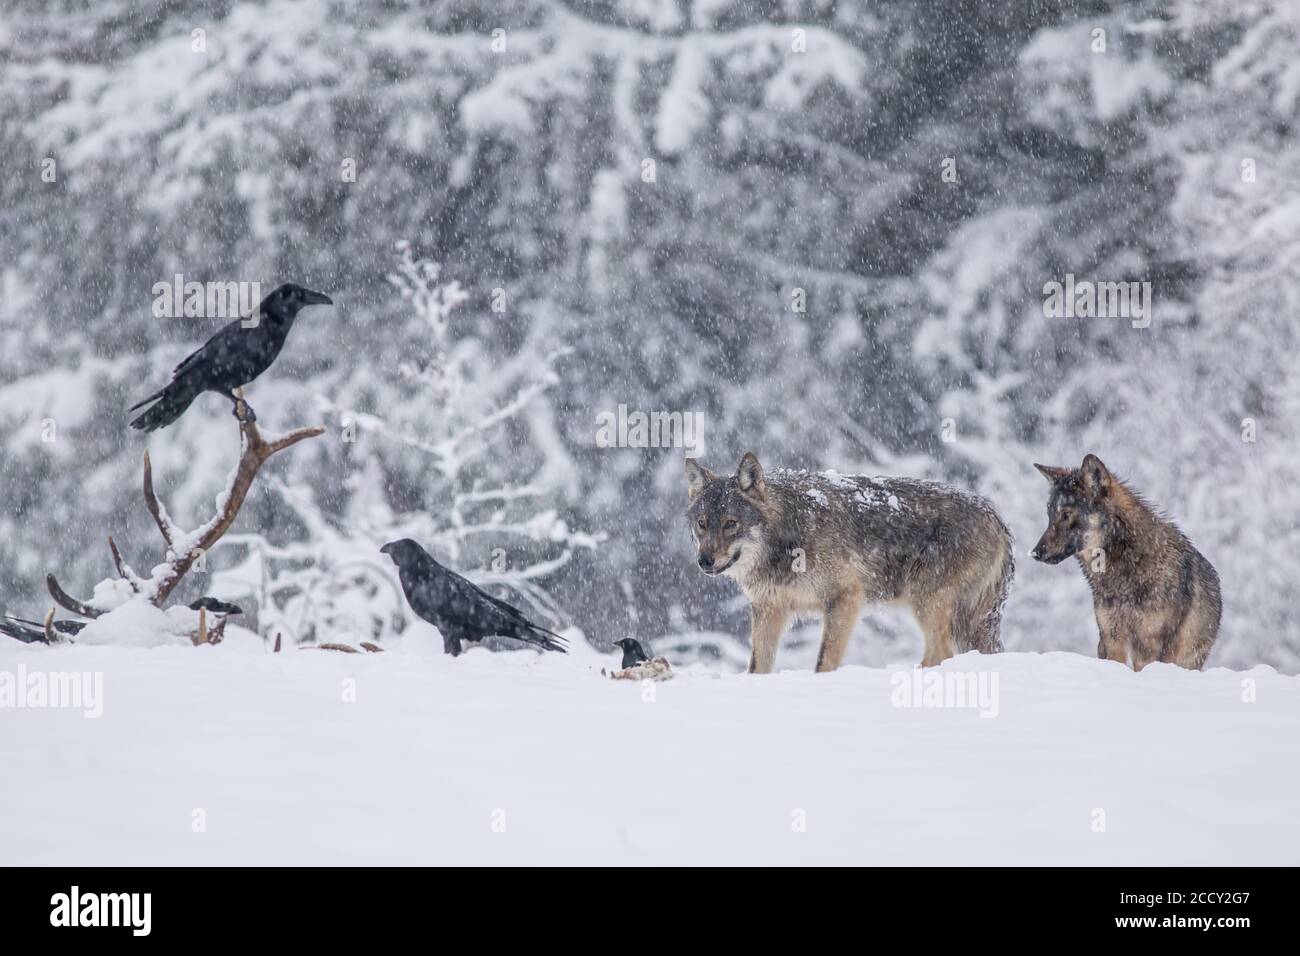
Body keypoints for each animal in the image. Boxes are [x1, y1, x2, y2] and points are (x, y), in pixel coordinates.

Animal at [685, 452, 1014, 672]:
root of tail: (999, 519)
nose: (704, 561)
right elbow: (757, 666)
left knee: (941, 654)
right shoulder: (769, 609)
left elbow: (823, 661)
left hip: (928, 606)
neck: (789, 535)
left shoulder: (845, 599)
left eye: (731, 523)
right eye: (702, 524)